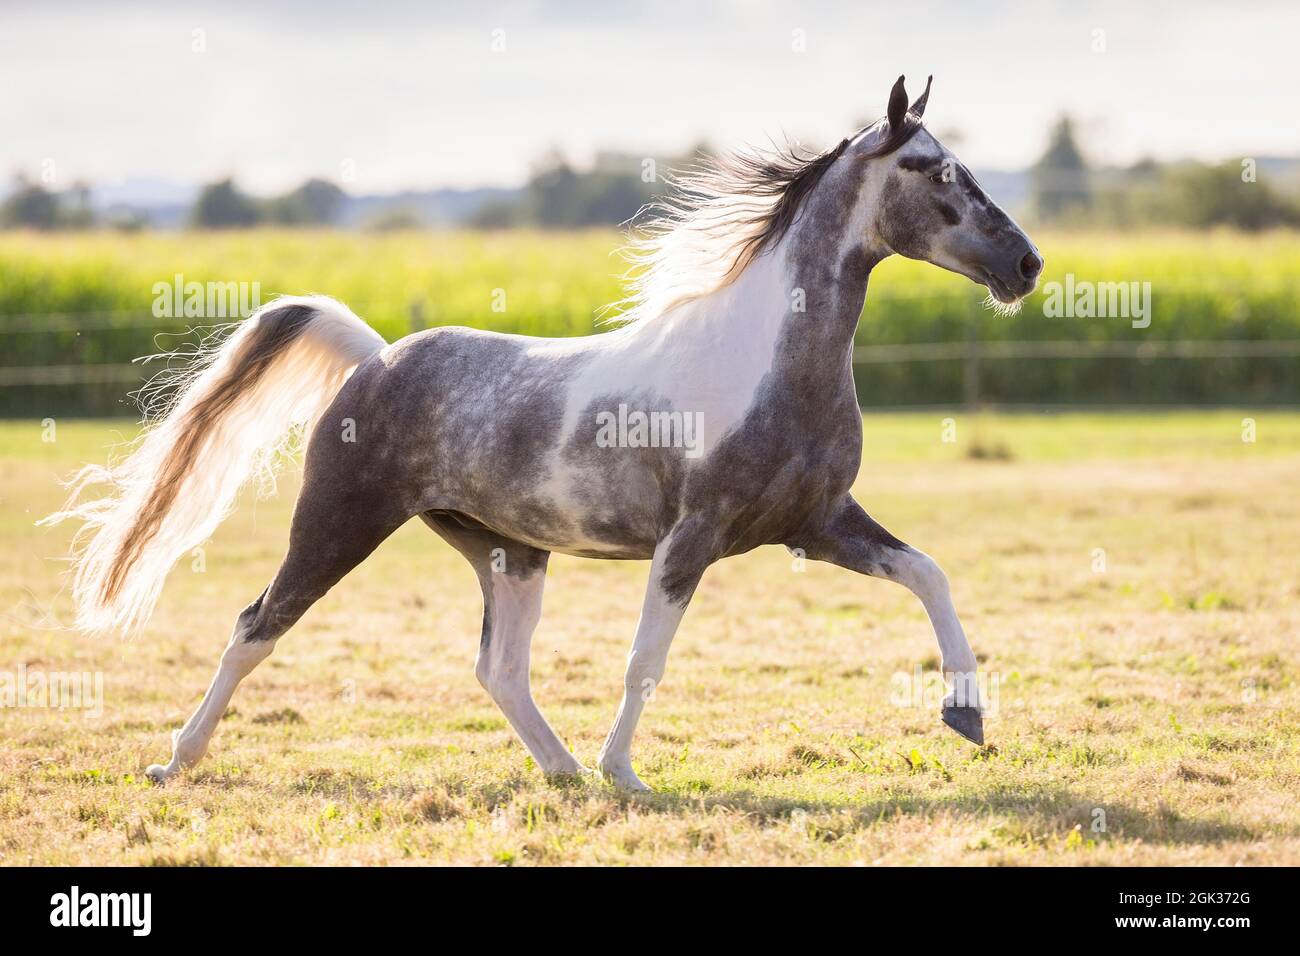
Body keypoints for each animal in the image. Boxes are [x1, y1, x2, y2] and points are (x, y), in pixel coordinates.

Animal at [47, 75, 1041, 792]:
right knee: (256, 625)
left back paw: (562, 772)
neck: (769, 362)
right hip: (338, 524)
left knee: (500, 667)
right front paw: (627, 774)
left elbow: (929, 573)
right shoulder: (694, 536)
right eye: (935, 171)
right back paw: (174, 762)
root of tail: (375, 358)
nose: (1026, 264)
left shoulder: (815, 523)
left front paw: (966, 717)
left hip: (508, 552)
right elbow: (646, 660)